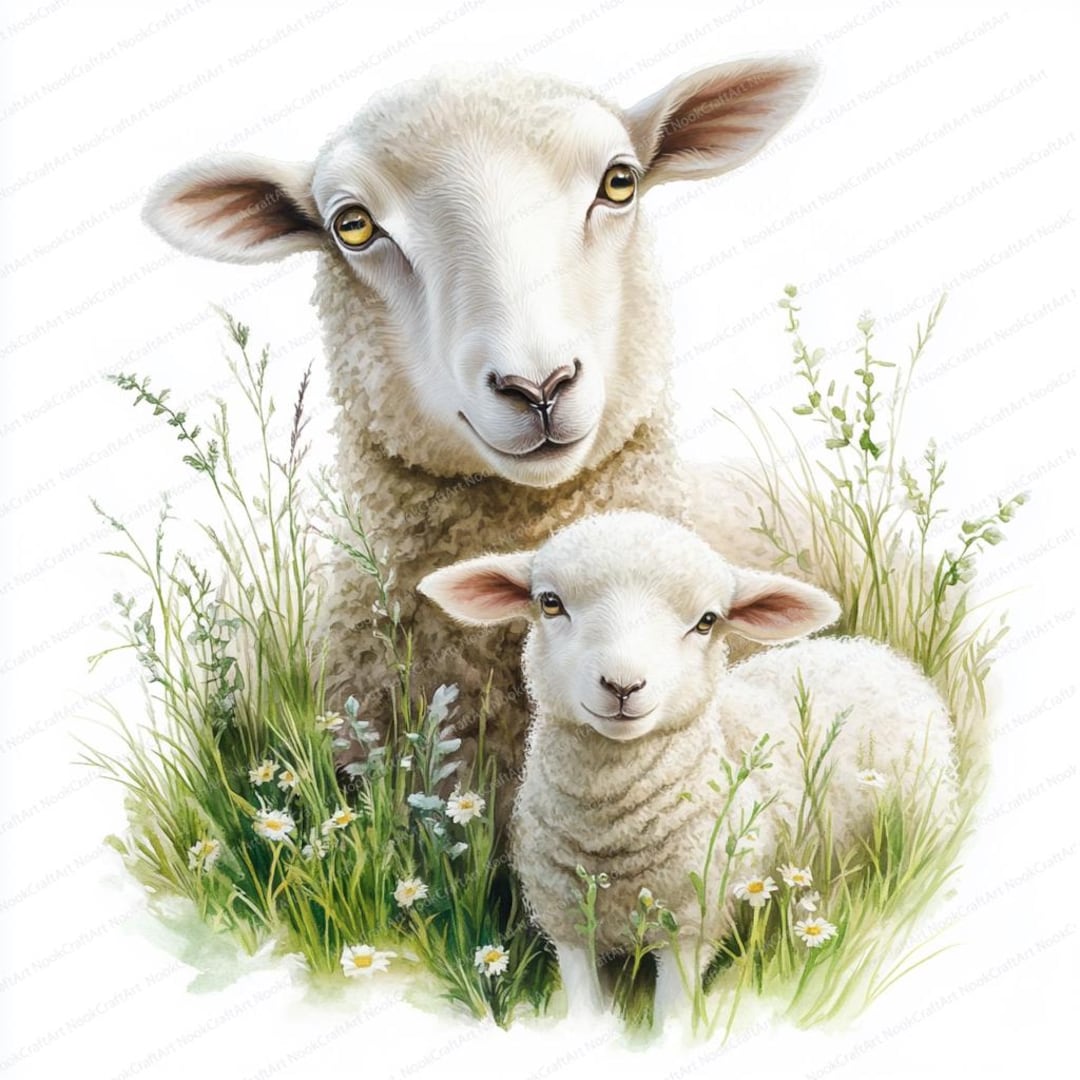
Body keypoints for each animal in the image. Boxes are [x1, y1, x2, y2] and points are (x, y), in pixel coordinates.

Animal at [418, 511, 958, 1017]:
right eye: (551, 602)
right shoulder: (569, 927)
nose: (623, 686)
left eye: (707, 621)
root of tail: (867, 649)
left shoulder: (692, 927)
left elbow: (671, 1021)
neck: (607, 837)